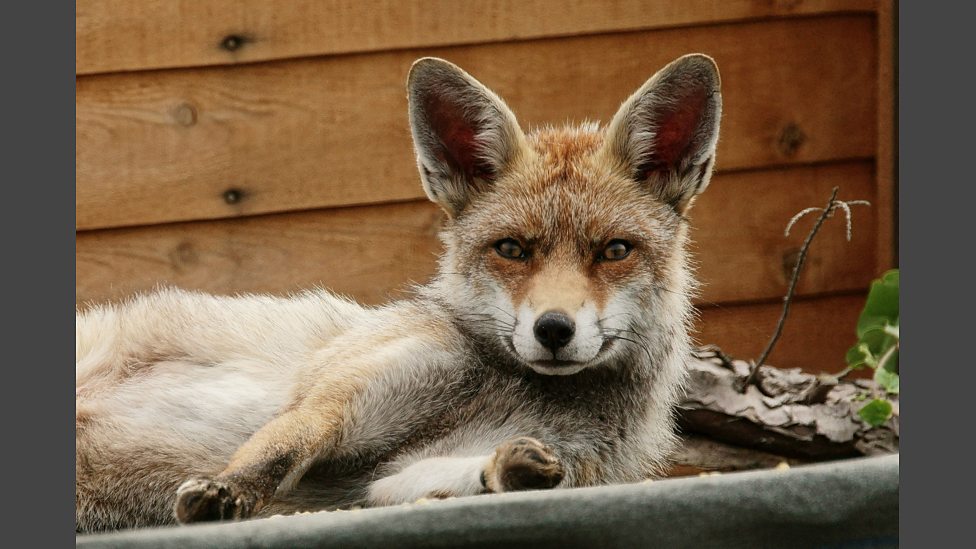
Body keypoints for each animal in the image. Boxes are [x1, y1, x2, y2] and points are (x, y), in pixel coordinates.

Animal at [75, 53, 722, 532]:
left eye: (614, 251)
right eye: (512, 249)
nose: (554, 329)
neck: (503, 383)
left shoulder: (382, 484)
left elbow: (454, 480)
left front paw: (511, 471)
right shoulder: (336, 400)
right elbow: (281, 445)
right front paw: (224, 489)